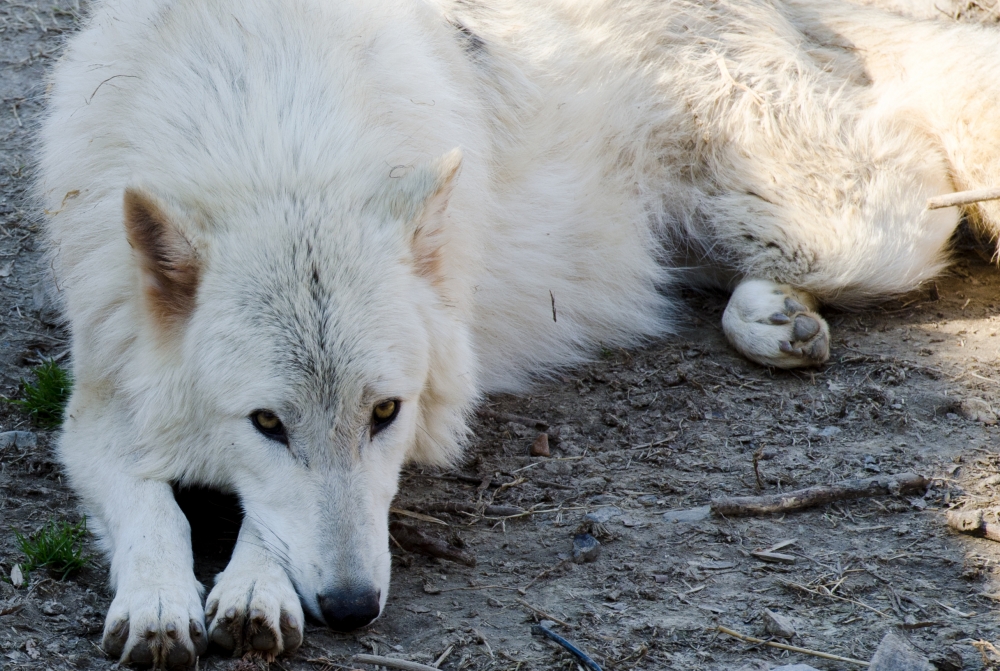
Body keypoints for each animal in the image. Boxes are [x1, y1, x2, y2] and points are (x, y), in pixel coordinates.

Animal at [35, 0, 1000, 665]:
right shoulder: (95, 406)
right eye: (267, 423)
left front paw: (249, 588)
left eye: (386, 414)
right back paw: (776, 315)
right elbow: (158, 508)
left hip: (834, 229)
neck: (274, 139)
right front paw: (160, 600)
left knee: (926, 193)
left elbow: (260, 526)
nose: (349, 606)